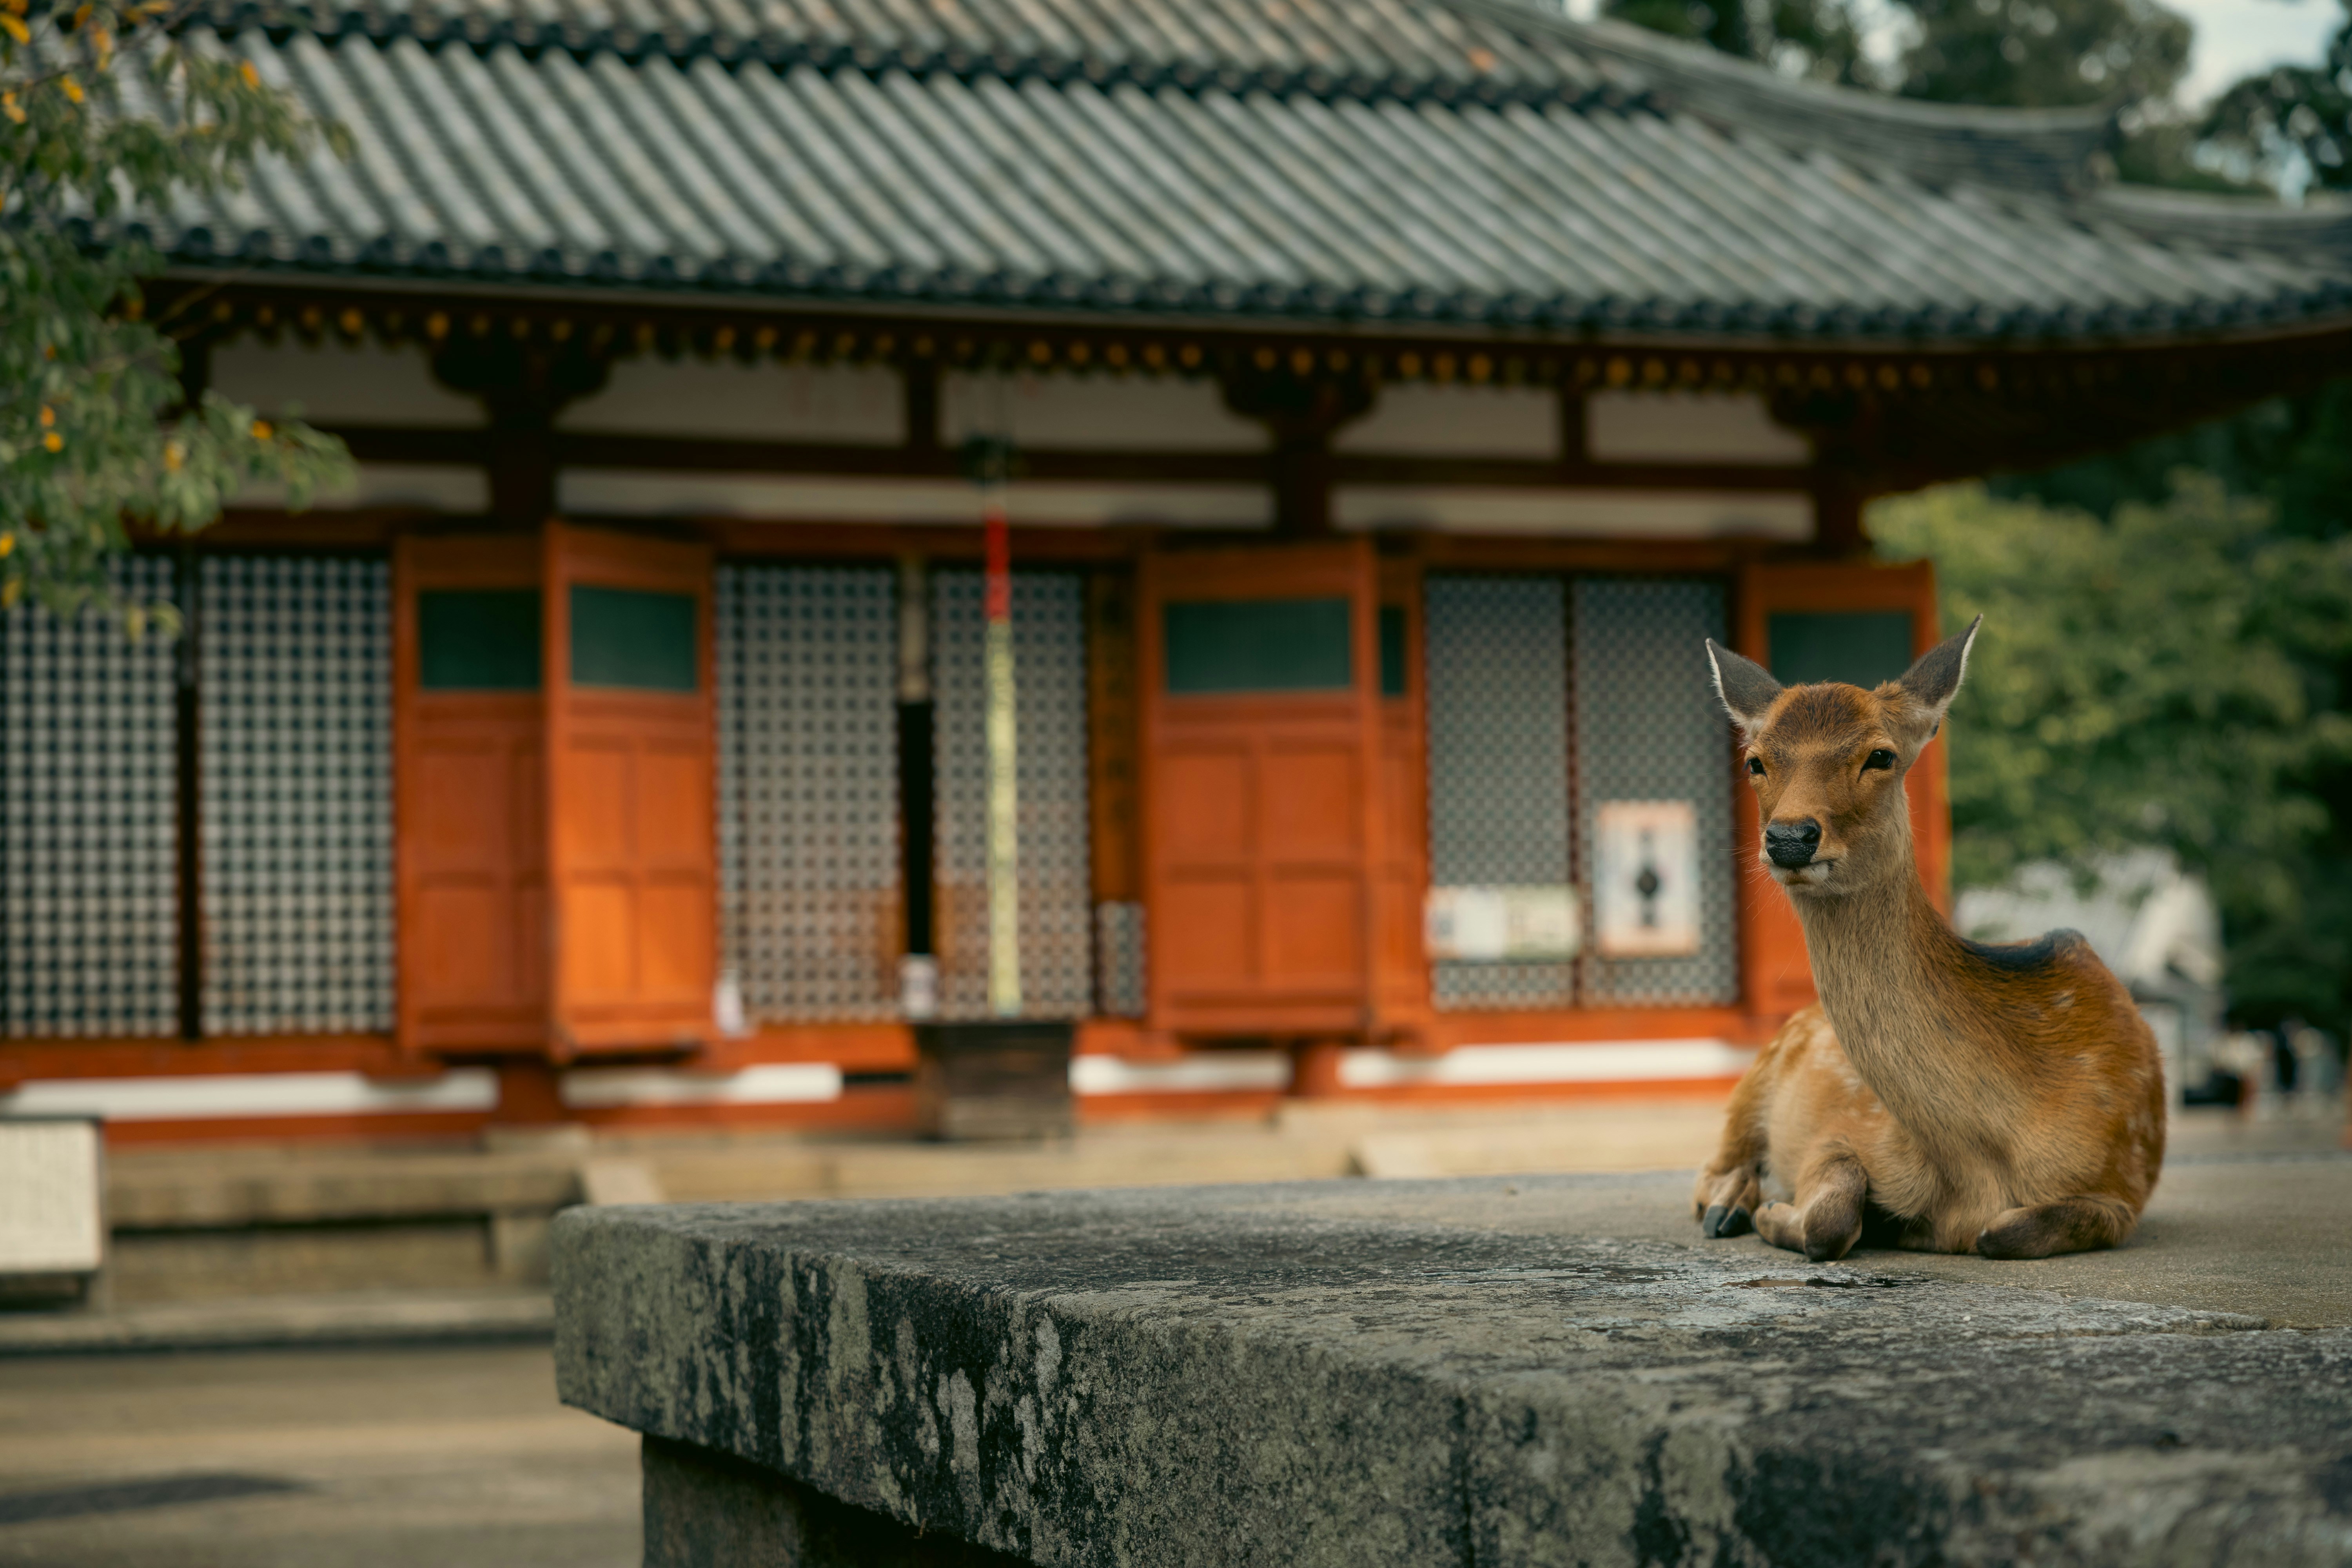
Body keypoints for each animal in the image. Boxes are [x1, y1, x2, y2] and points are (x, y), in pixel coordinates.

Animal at [1692, 619, 2166, 1261]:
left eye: (1881, 755)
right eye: (1755, 762)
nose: (1790, 837)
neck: (1978, 1164)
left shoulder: (2122, 1187)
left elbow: (2006, 1231)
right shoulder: (1841, 1131)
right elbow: (1831, 1216)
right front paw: (1775, 1211)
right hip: (1757, 1077)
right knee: (1713, 1168)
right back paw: (1730, 1204)